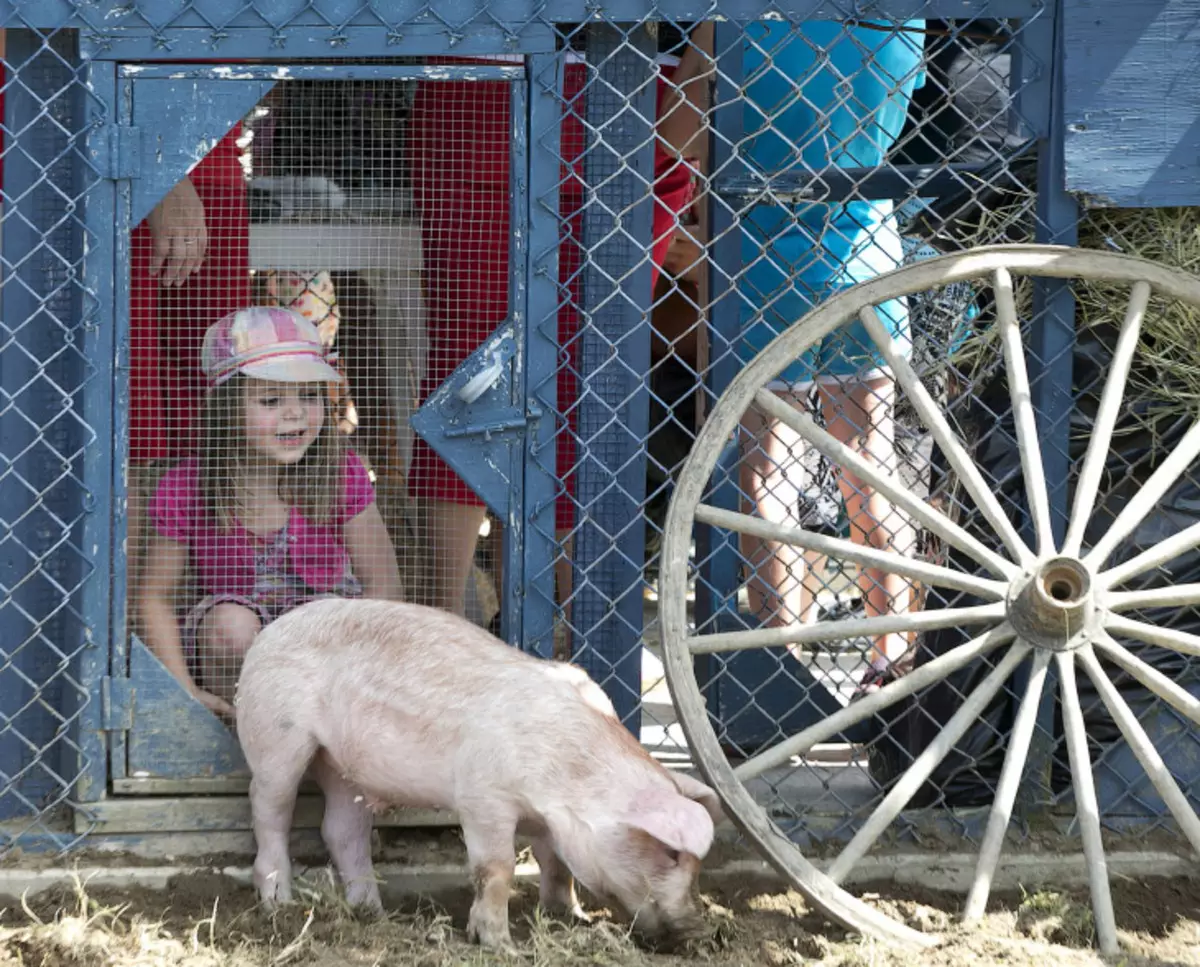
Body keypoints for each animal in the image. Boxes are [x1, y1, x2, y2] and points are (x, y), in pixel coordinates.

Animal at [232, 597, 720, 955]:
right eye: (671, 855)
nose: (701, 932)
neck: (570, 773)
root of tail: (265, 634)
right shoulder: (482, 796)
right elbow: (497, 867)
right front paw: (502, 946)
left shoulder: (549, 820)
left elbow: (557, 864)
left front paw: (570, 916)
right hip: (275, 733)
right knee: (269, 809)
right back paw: (279, 900)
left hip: (341, 765)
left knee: (341, 829)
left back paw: (373, 911)